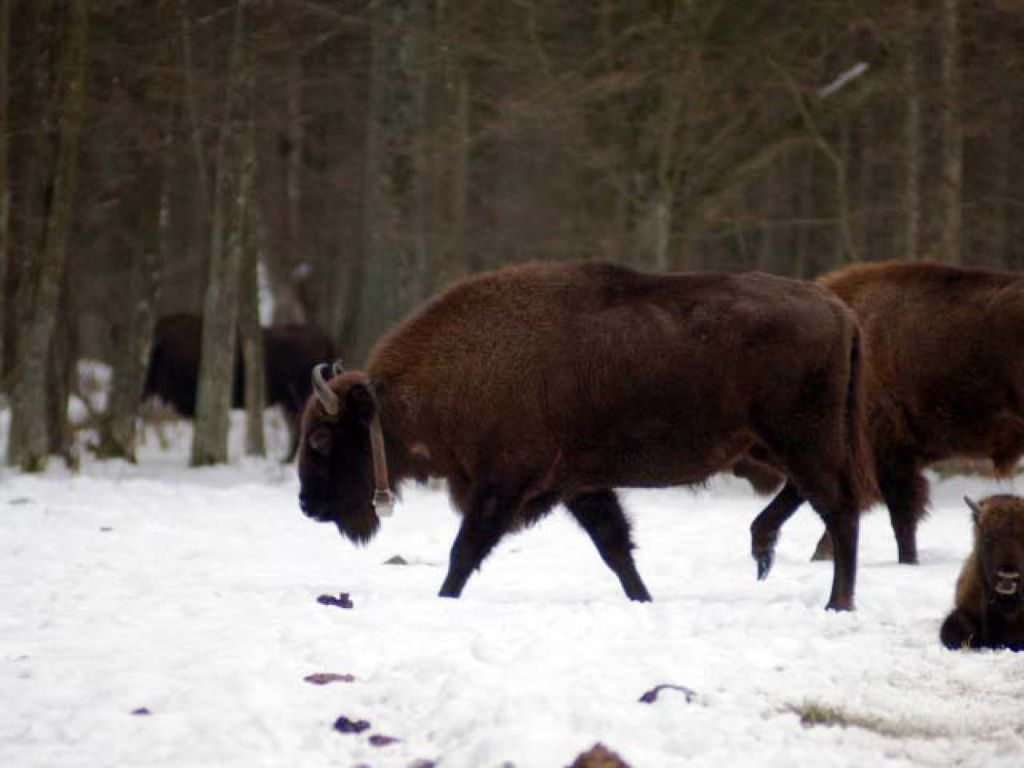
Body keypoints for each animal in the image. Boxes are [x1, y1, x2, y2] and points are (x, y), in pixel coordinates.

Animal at [297, 261, 874, 610]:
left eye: (323, 439)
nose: (306, 504)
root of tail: (840, 310)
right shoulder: (580, 486)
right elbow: (615, 547)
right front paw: (643, 599)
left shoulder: (503, 485)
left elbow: (466, 549)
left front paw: (444, 599)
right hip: (770, 445)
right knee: (813, 496)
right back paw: (764, 549)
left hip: (800, 440)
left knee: (839, 507)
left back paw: (836, 602)